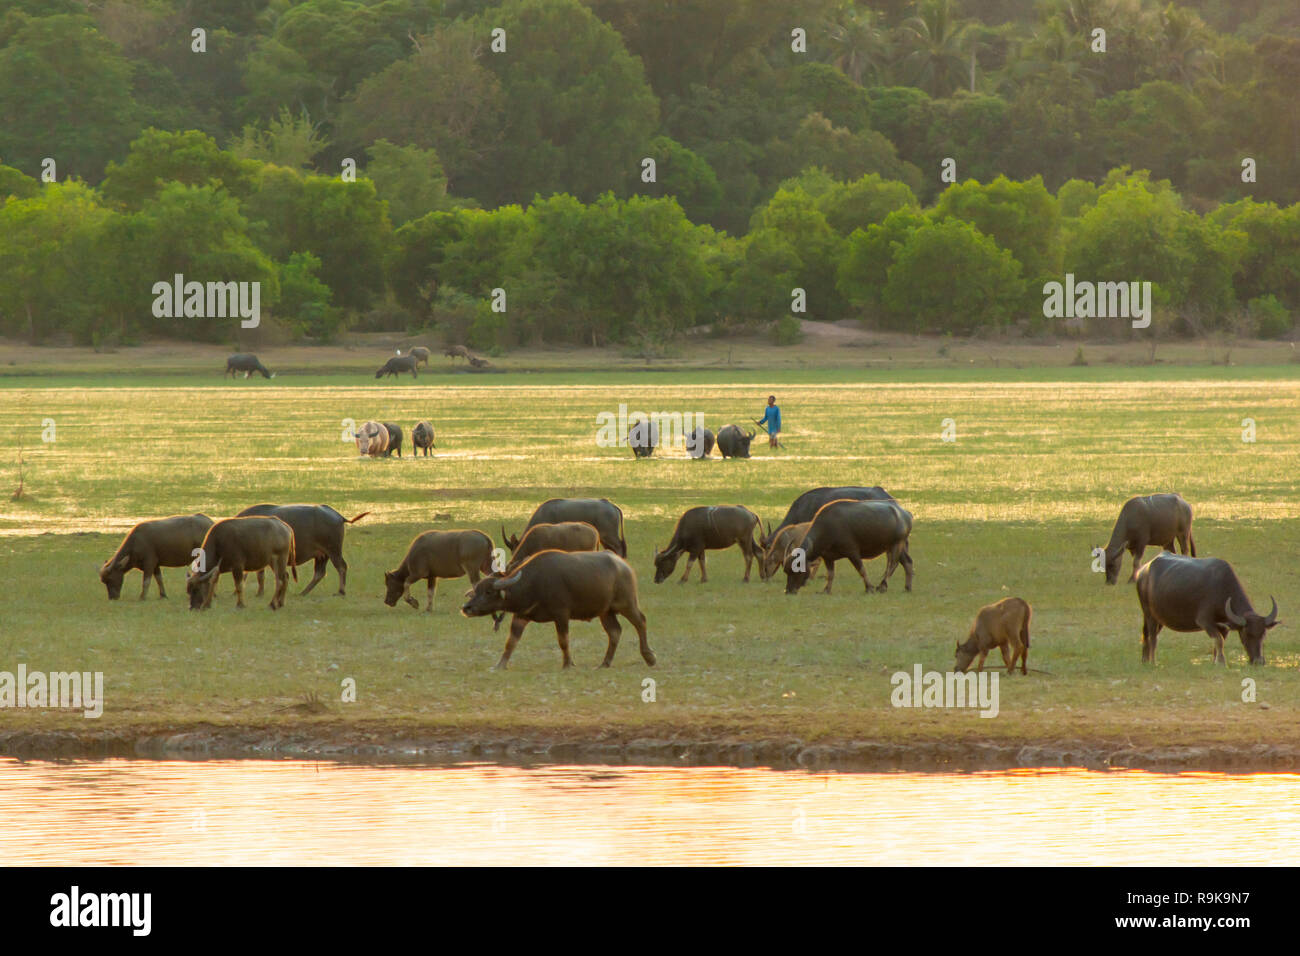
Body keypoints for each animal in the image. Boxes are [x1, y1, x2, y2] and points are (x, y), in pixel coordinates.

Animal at [236, 504, 368, 596]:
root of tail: (339, 516)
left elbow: (254, 575)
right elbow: (258, 575)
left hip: (333, 550)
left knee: (341, 567)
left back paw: (340, 591)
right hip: (322, 555)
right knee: (319, 573)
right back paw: (303, 593)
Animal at [461, 550, 656, 670]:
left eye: (488, 592)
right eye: (476, 590)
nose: (466, 608)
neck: (533, 585)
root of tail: (624, 566)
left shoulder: (561, 614)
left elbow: (563, 640)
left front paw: (567, 664)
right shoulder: (521, 616)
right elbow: (511, 642)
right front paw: (499, 665)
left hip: (627, 603)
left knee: (641, 622)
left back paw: (649, 657)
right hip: (605, 612)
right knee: (615, 632)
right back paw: (604, 663)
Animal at [783, 499, 914, 595]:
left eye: (797, 569)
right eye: (786, 571)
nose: (788, 591)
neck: (827, 528)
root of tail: (905, 513)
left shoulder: (853, 552)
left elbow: (861, 570)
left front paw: (869, 588)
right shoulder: (828, 558)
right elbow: (830, 574)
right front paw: (826, 590)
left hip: (897, 543)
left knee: (893, 563)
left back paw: (882, 586)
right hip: (897, 546)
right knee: (907, 562)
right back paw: (907, 587)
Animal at [1135, 553, 1278, 665]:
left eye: (1263, 634)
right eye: (1246, 633)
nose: (1259, 661)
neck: (1222, 590)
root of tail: (1143, 571)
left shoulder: (1224, 626)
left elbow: (1219, 641)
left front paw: (1216, 661)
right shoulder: (1204, 621)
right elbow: (1219, 640)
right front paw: (1221, 662)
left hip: (1160, 618)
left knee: (1146, 634)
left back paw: (1144, 660)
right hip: (1149, 613)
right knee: (1152, 636)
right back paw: (1153, 661)